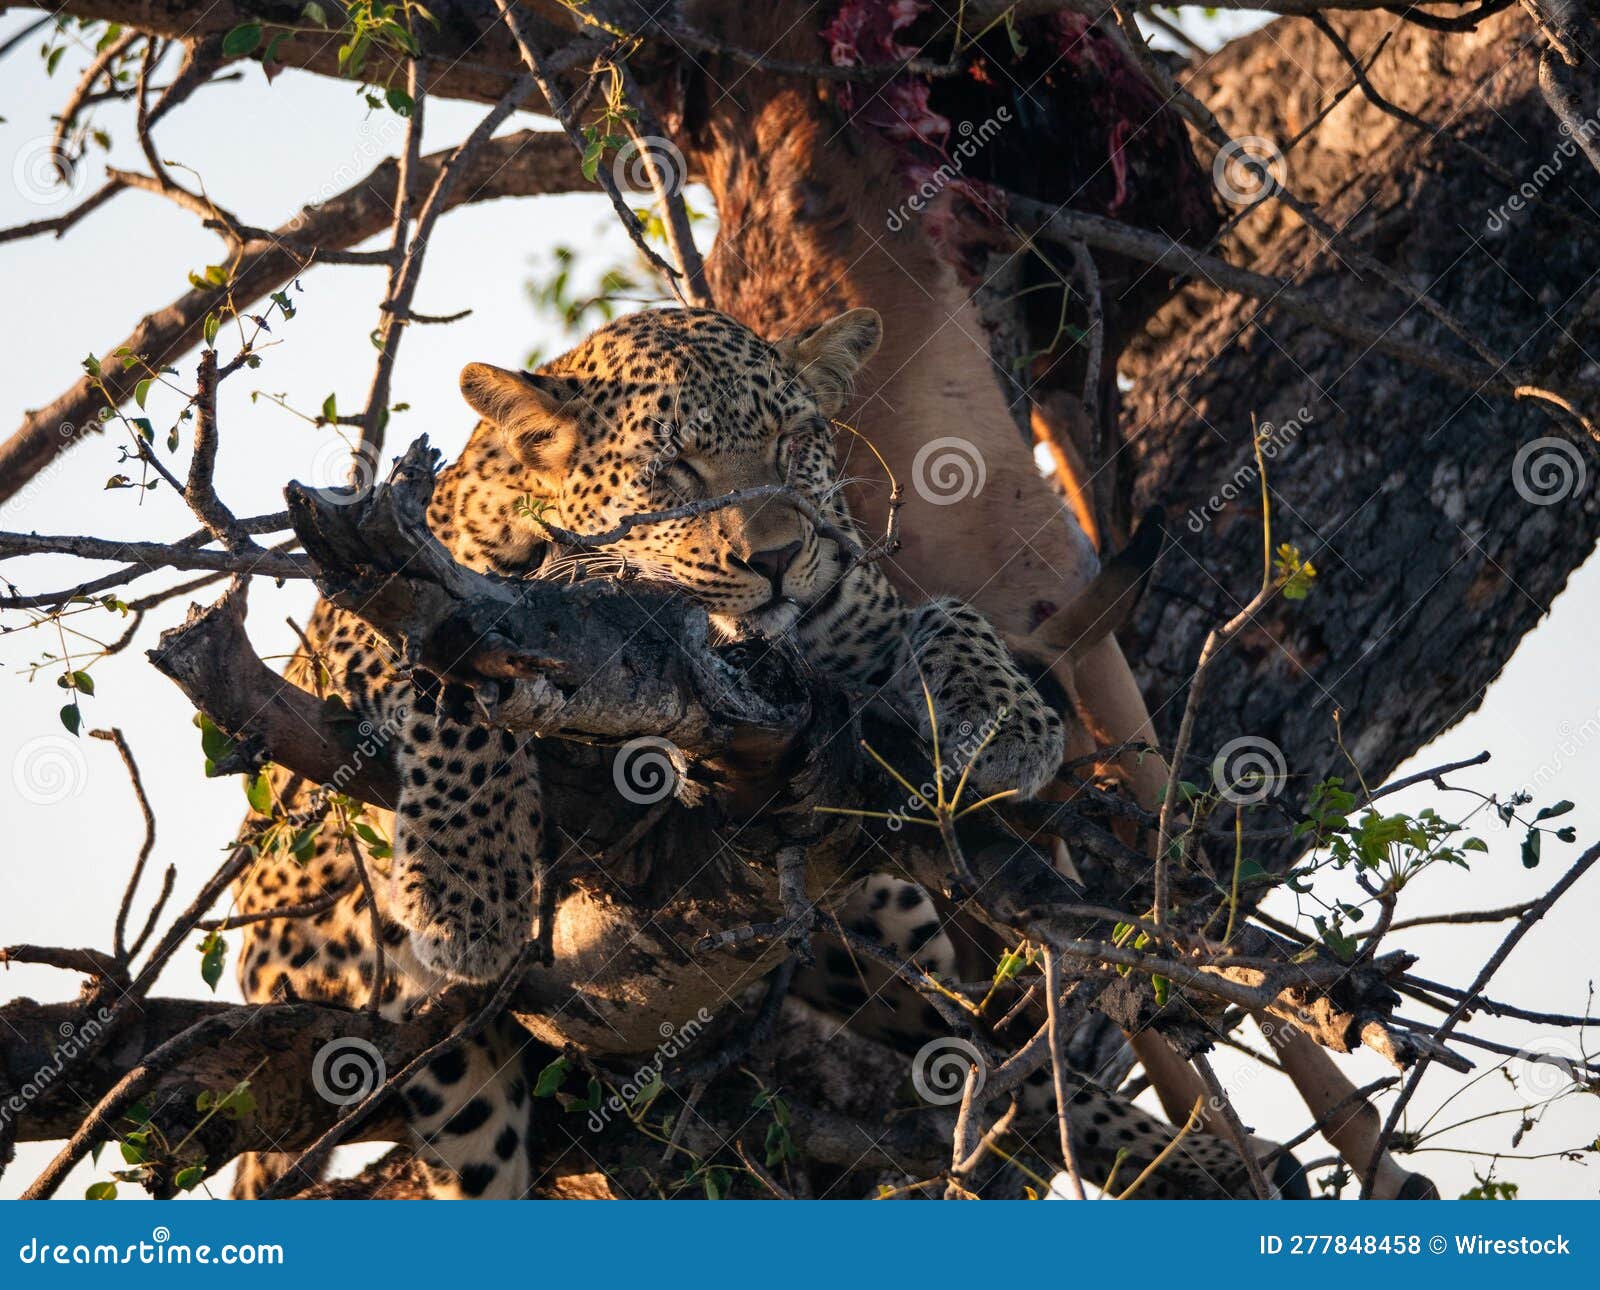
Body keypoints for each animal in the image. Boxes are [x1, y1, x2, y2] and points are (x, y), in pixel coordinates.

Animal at [228, 306, 1292, 1200]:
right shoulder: (369, 624)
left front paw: (1006, 716)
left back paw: (1187, 1155)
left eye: (791, 444)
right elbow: (452, 690)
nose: (777, 555)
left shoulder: (850, 626)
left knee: (982, 1054)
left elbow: (942, 614)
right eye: (678, 470)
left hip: (879, 924)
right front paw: (468, 886)